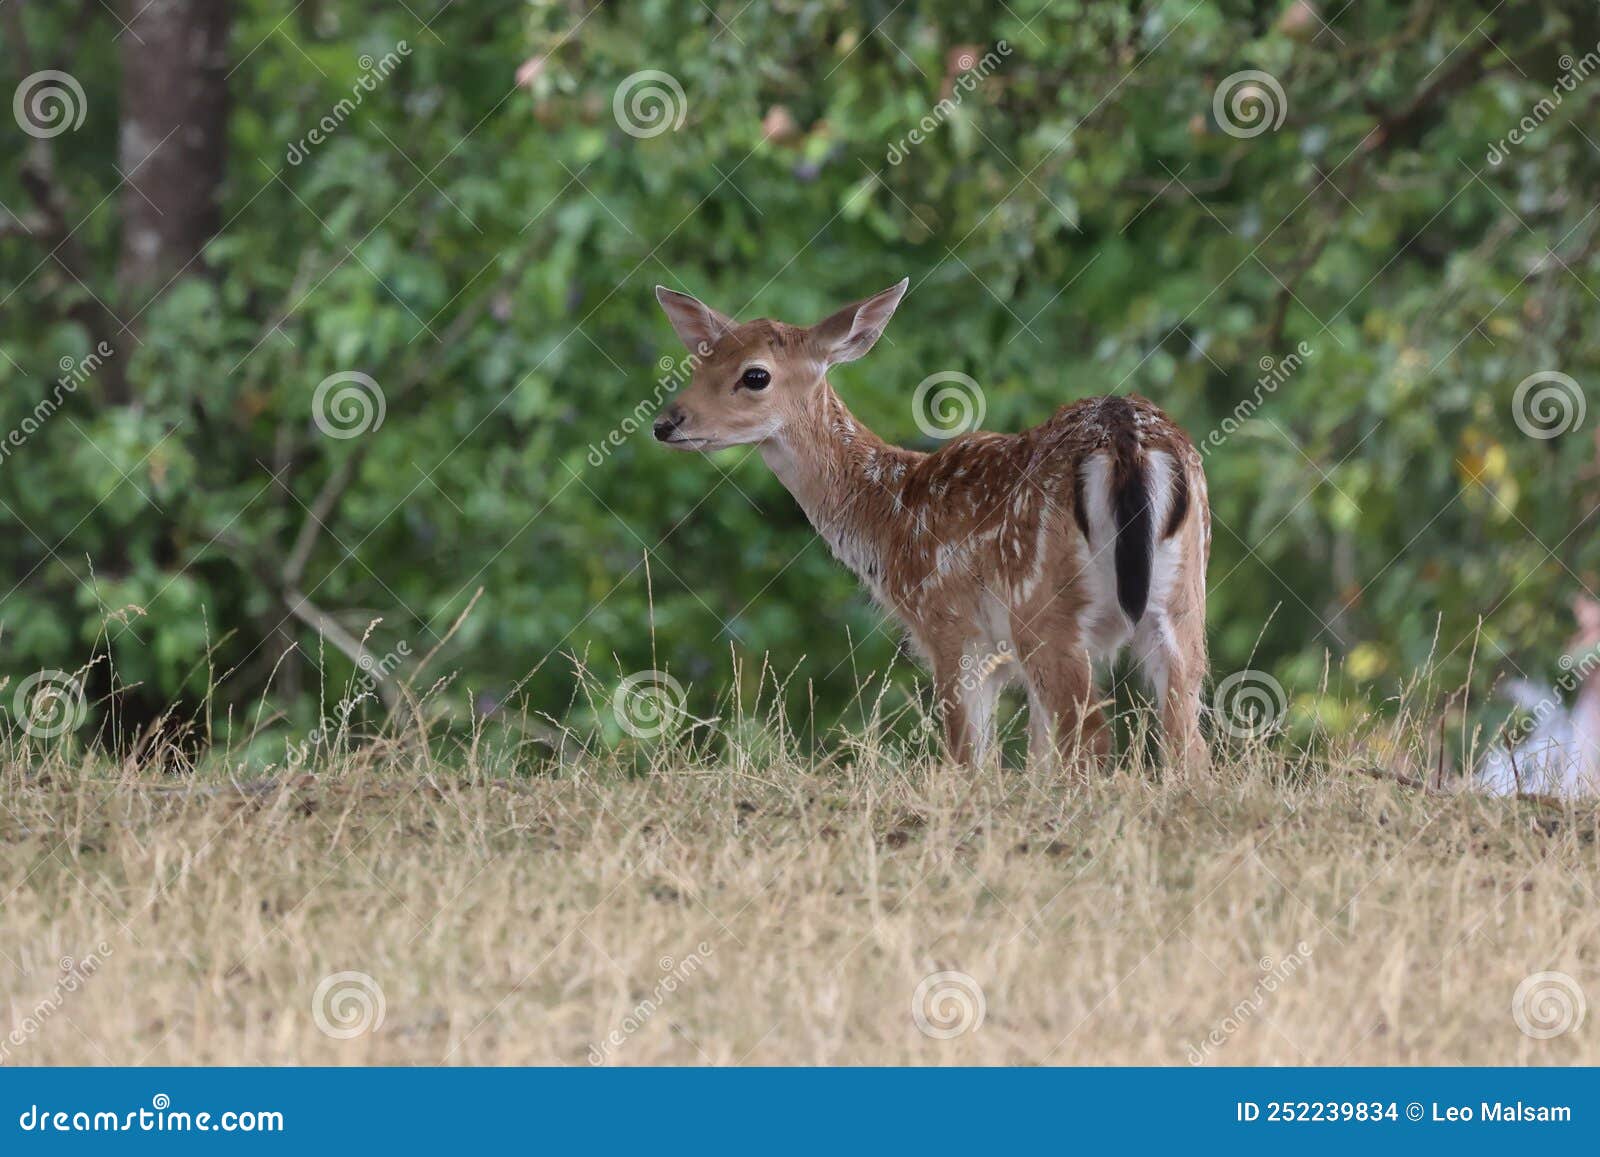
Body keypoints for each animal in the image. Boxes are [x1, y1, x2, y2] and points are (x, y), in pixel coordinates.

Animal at [652, 279, 1211, 772]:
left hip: (1044, 608)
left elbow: (969, 761)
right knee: (1187, 743)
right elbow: (1035, 760)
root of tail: (1126, 439)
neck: (889, 513)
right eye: (699, 361)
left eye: (755, 375)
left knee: (1093, 740)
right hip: (1182, 600)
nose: (666, 423)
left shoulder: (949, 627)